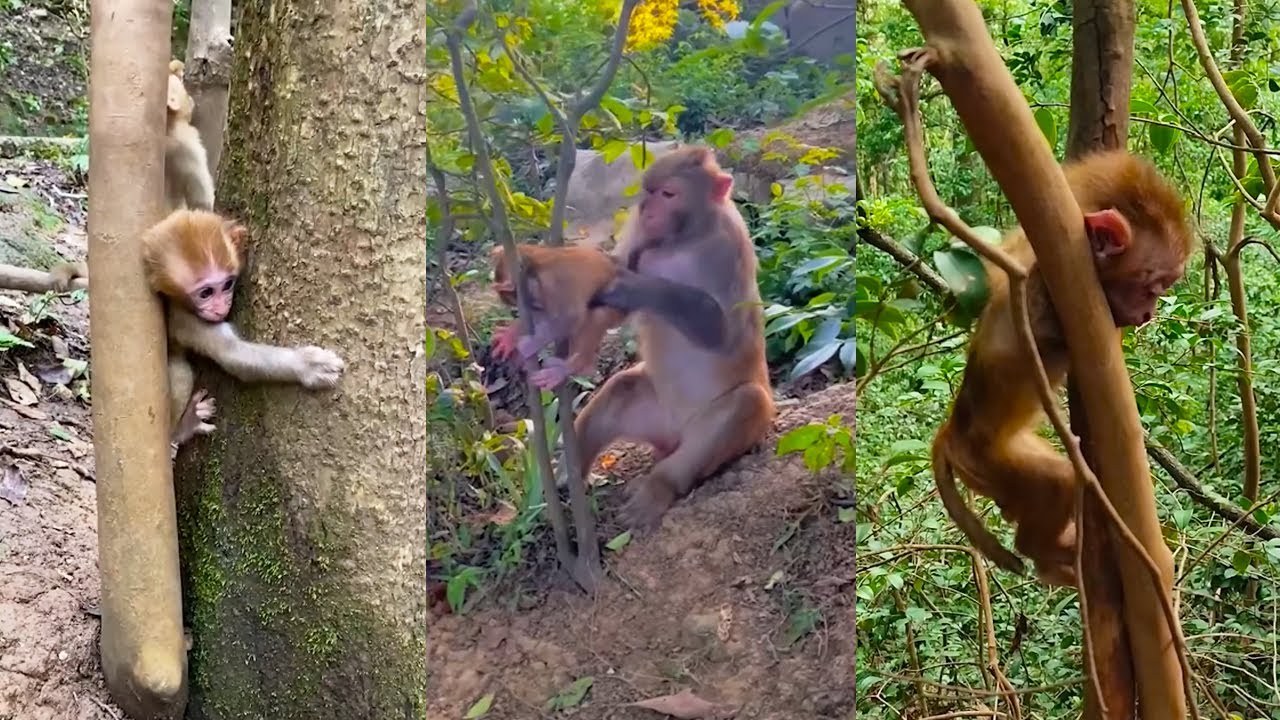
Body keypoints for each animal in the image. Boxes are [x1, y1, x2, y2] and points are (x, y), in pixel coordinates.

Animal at [488, 242, 729, 390]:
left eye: (517, 299)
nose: (527, 308)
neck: (532, 262)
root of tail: (621, 272)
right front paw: (512, 335)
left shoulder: (550, 283)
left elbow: (569, 317)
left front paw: (528, 345)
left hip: (618, 304)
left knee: (594, 316)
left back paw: (577, 366)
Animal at [566, 145, 775, 532]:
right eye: (648, 192)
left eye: (668, 194)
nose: (647, 211)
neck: (685, 240)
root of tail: (673, 436)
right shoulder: (636, 231)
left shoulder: (729, 248)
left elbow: (720, 332)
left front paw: (634, 283)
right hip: (655, 415)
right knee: (622, 388)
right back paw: (567, 475)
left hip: (718, 429)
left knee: (746, 403)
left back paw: (660, 486)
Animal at [931, 150, 1194, 587]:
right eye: (1153, 287)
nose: (1147, 315)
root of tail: (952, 430)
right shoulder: (1043, 287)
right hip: (990, 462)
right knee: (1060, 479)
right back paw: (1041, 551)